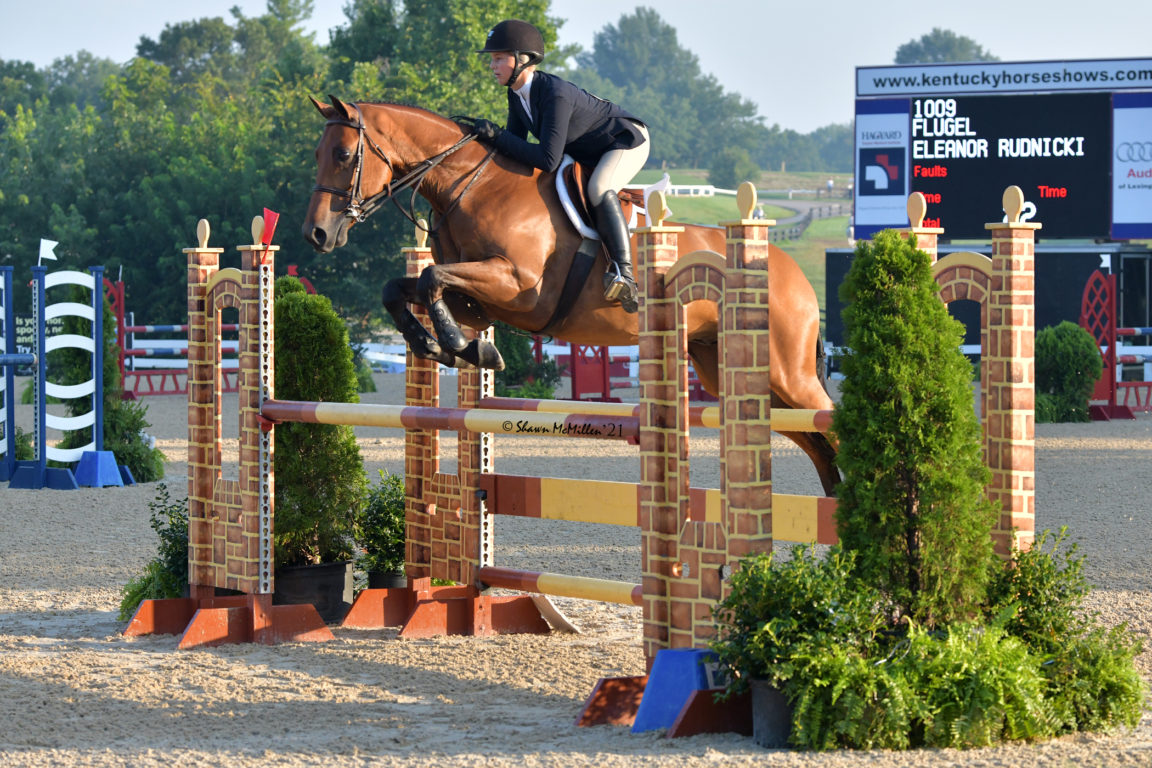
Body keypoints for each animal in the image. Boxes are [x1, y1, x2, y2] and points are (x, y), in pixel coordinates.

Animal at [302, 96, 839, 495]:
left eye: (344, 156)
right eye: (319, 155)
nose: (317, 235)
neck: (470, 187)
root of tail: (790, 271)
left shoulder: (517, 286)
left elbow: (433, 276)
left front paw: (460, 346)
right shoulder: (478, 297)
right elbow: (403, 287)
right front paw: (444, 345)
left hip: (785, 372)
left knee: (828, 423)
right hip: (729, 368)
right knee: (819, 444)